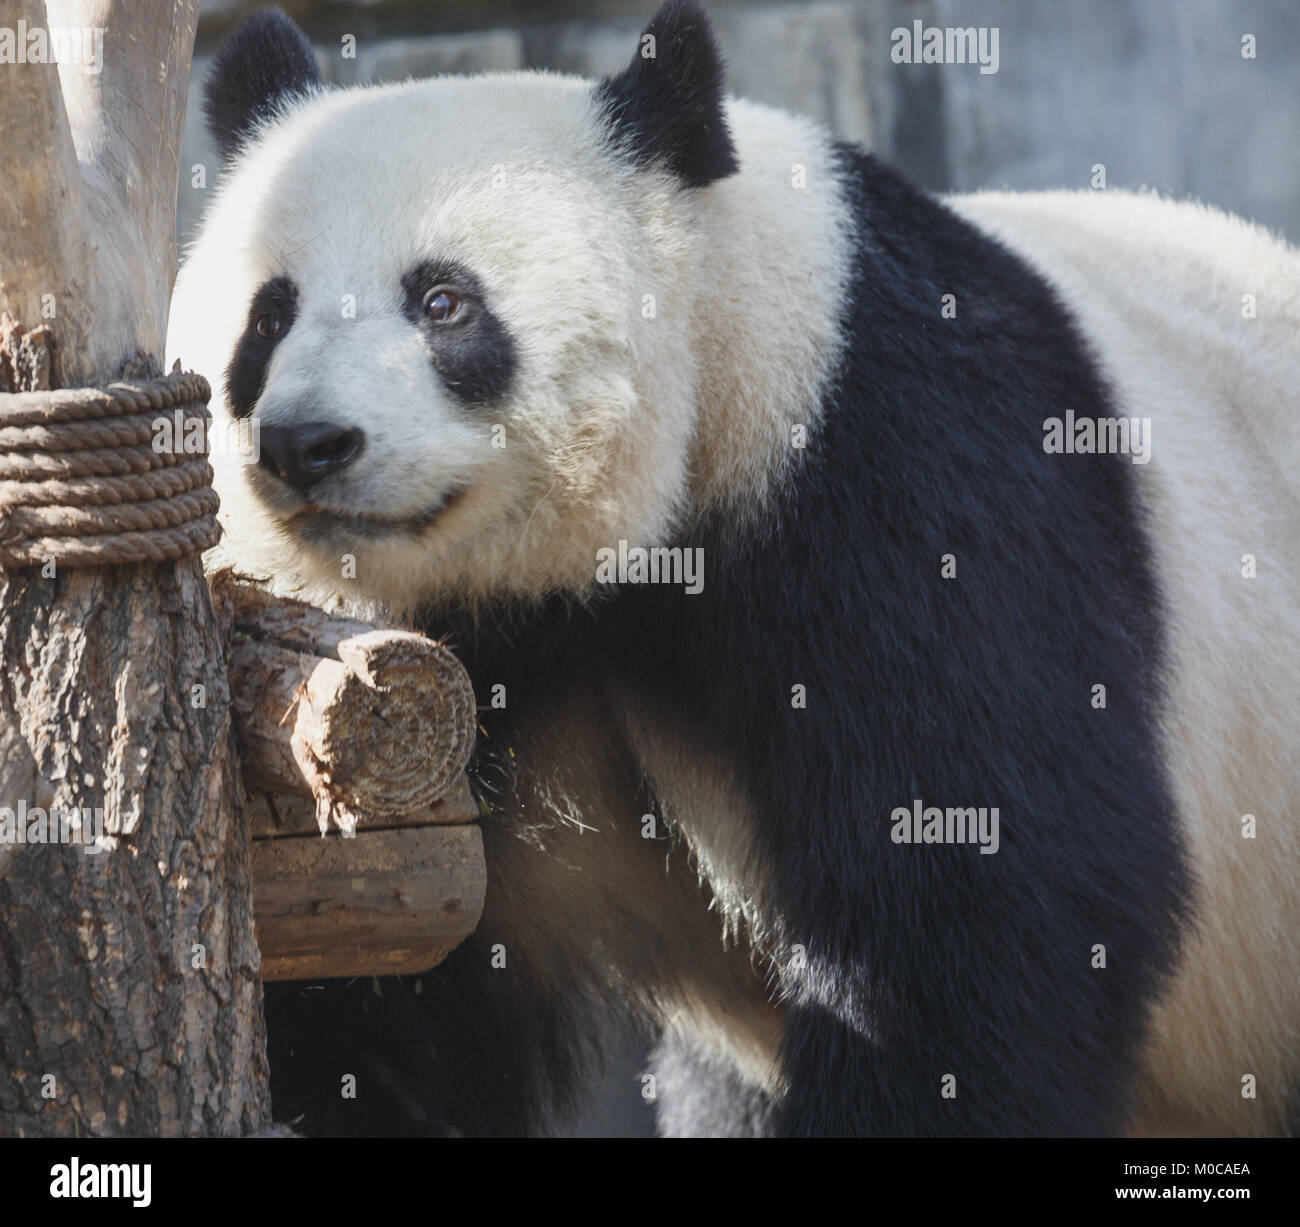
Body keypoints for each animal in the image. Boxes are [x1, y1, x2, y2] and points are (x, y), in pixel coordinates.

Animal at [166, 3, 1300, 1137]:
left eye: (443, 301)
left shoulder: (894, 476)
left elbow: (979, 897)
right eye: (269, 316)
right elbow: (394, 967)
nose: (308, 444)